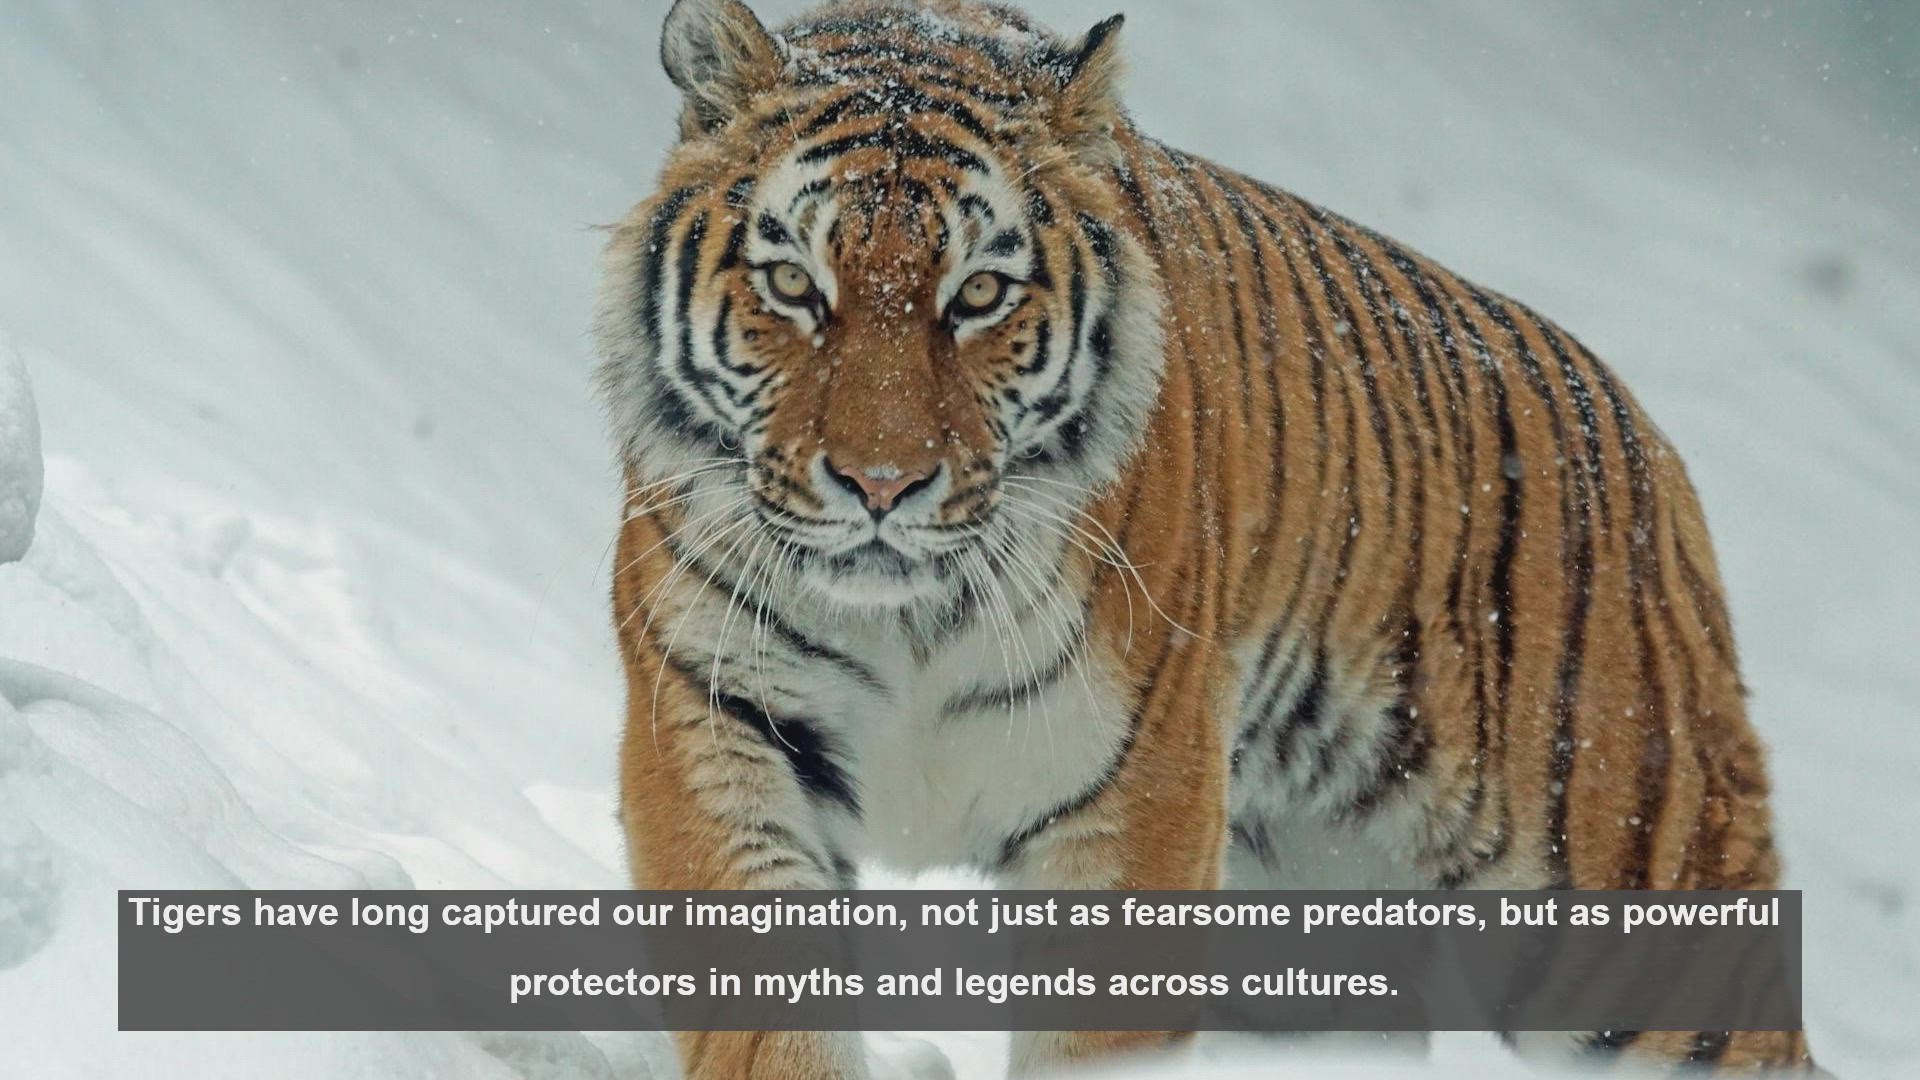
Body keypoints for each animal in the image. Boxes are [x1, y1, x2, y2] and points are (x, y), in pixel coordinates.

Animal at [593, 0, 1818, 1075]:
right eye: (792, 283)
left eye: (979, 295)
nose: (882, 483)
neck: (912, 618)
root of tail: (1650, 447)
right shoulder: (718, 726)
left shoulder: (1138, 802)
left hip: (1633, 911)